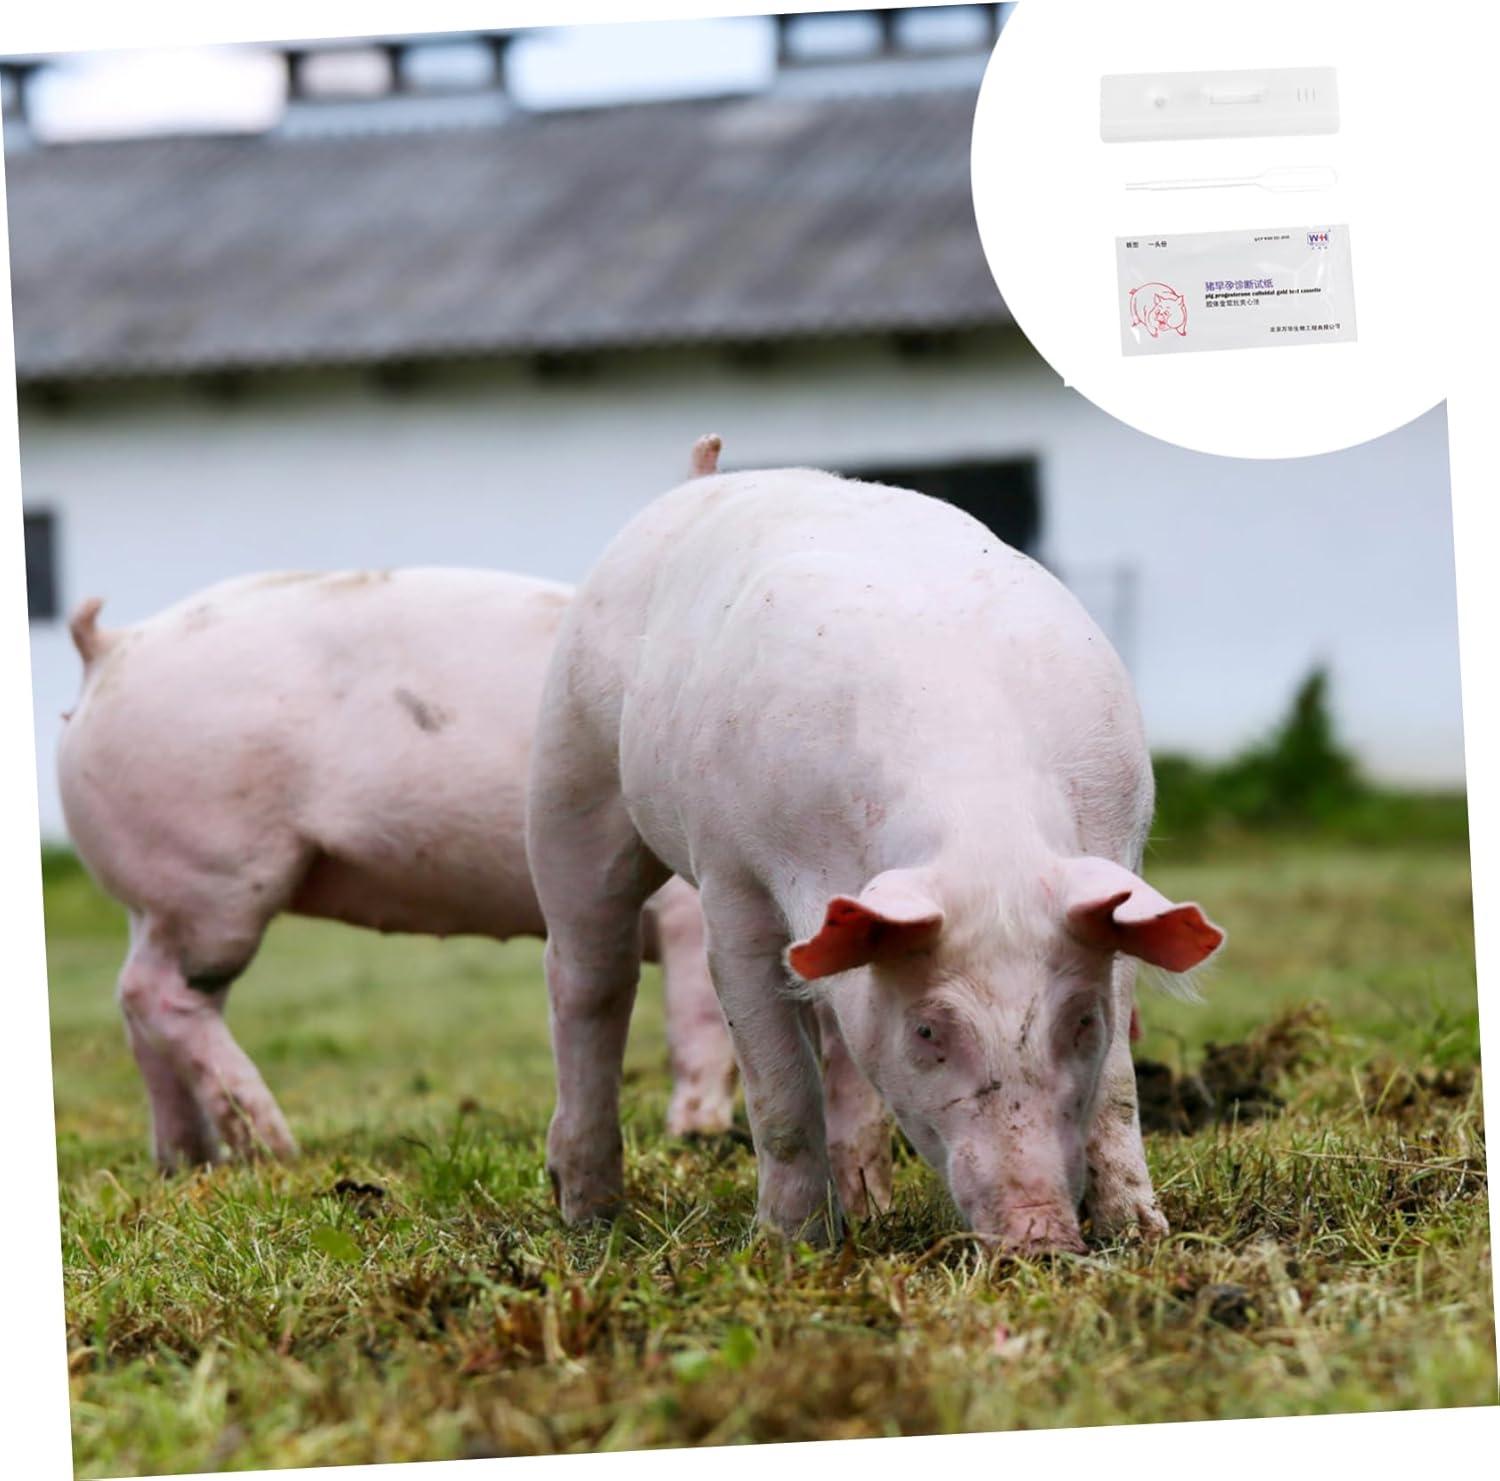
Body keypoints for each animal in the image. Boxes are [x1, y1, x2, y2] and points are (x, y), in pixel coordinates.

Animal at [58, 566, 738, 1170]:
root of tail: (109, 648)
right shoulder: (686, 907)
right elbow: (701, 1012)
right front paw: (699, 1133)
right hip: (214, 875)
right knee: (152, 992)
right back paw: (277, 1150)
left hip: (156, 898)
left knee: (144, 1008)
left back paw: (188, 1160)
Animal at [527, 435, 1224, 1252]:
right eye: (927, 1028)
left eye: (1079, 1019)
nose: (1040, 1234)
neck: (979, 817)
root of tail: (698, 482)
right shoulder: (732, 876)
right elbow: (775, 1085)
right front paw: (789, 1245)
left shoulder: (1117, 857)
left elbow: (1117, 1083)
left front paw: (1142, 1232)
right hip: (570, 773)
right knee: (588, 974)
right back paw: (590, 1213)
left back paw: (868, 1208)